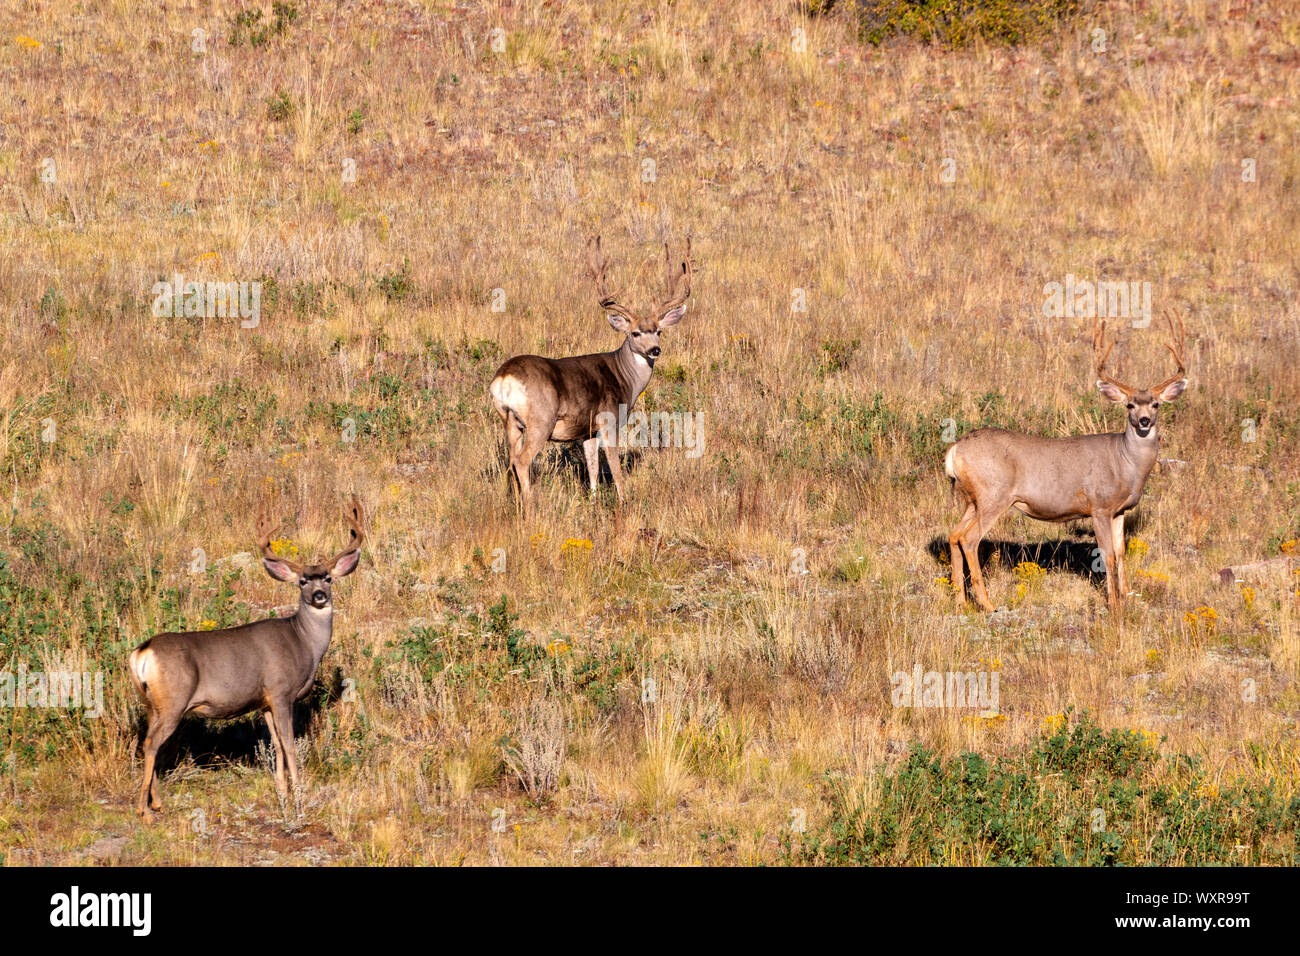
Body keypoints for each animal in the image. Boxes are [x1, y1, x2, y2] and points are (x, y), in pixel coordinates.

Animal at [127, 495, 365, 822]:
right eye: (302, 581)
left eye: (328, 578)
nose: (319, 596)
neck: (303, 642)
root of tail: (143, 650)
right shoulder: (281, 691)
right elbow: (289, 745)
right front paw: (299, 800)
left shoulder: (263, 702)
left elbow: (275, 745)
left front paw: (282, 795)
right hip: (174, 700)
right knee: (151, 744)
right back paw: (145, 810)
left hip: (151, 703)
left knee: (148, 742)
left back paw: (158, 802)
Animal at [488, 234, 693, 516]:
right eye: (635, 333)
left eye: (658, 331)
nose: (655, 350)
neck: (625, 379)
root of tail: (504, 378)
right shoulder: (609, 419)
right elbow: (614, 467)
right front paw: (623, 502)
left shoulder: (586, 431)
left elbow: (593, 468)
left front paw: (595, 503)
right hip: (541, 420)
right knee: (521, 461)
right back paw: (530, 509)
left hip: (509, 421)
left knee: (510, 461)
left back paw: (517, 504)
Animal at [944, 311, 1189, 611]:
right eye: (1129, 404)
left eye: (1156, 404)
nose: (1143, 421)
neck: (1126, 465)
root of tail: (955, 450)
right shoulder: (1099, 505)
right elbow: (1107, 554)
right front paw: (1113, 604)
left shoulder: (1120, 510)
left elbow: (1121, 552)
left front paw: (1127, 596)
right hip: (994, 494)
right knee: (969, 539)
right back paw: (988, 604)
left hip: (972, 498)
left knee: (953, 534)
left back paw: (961, 602)